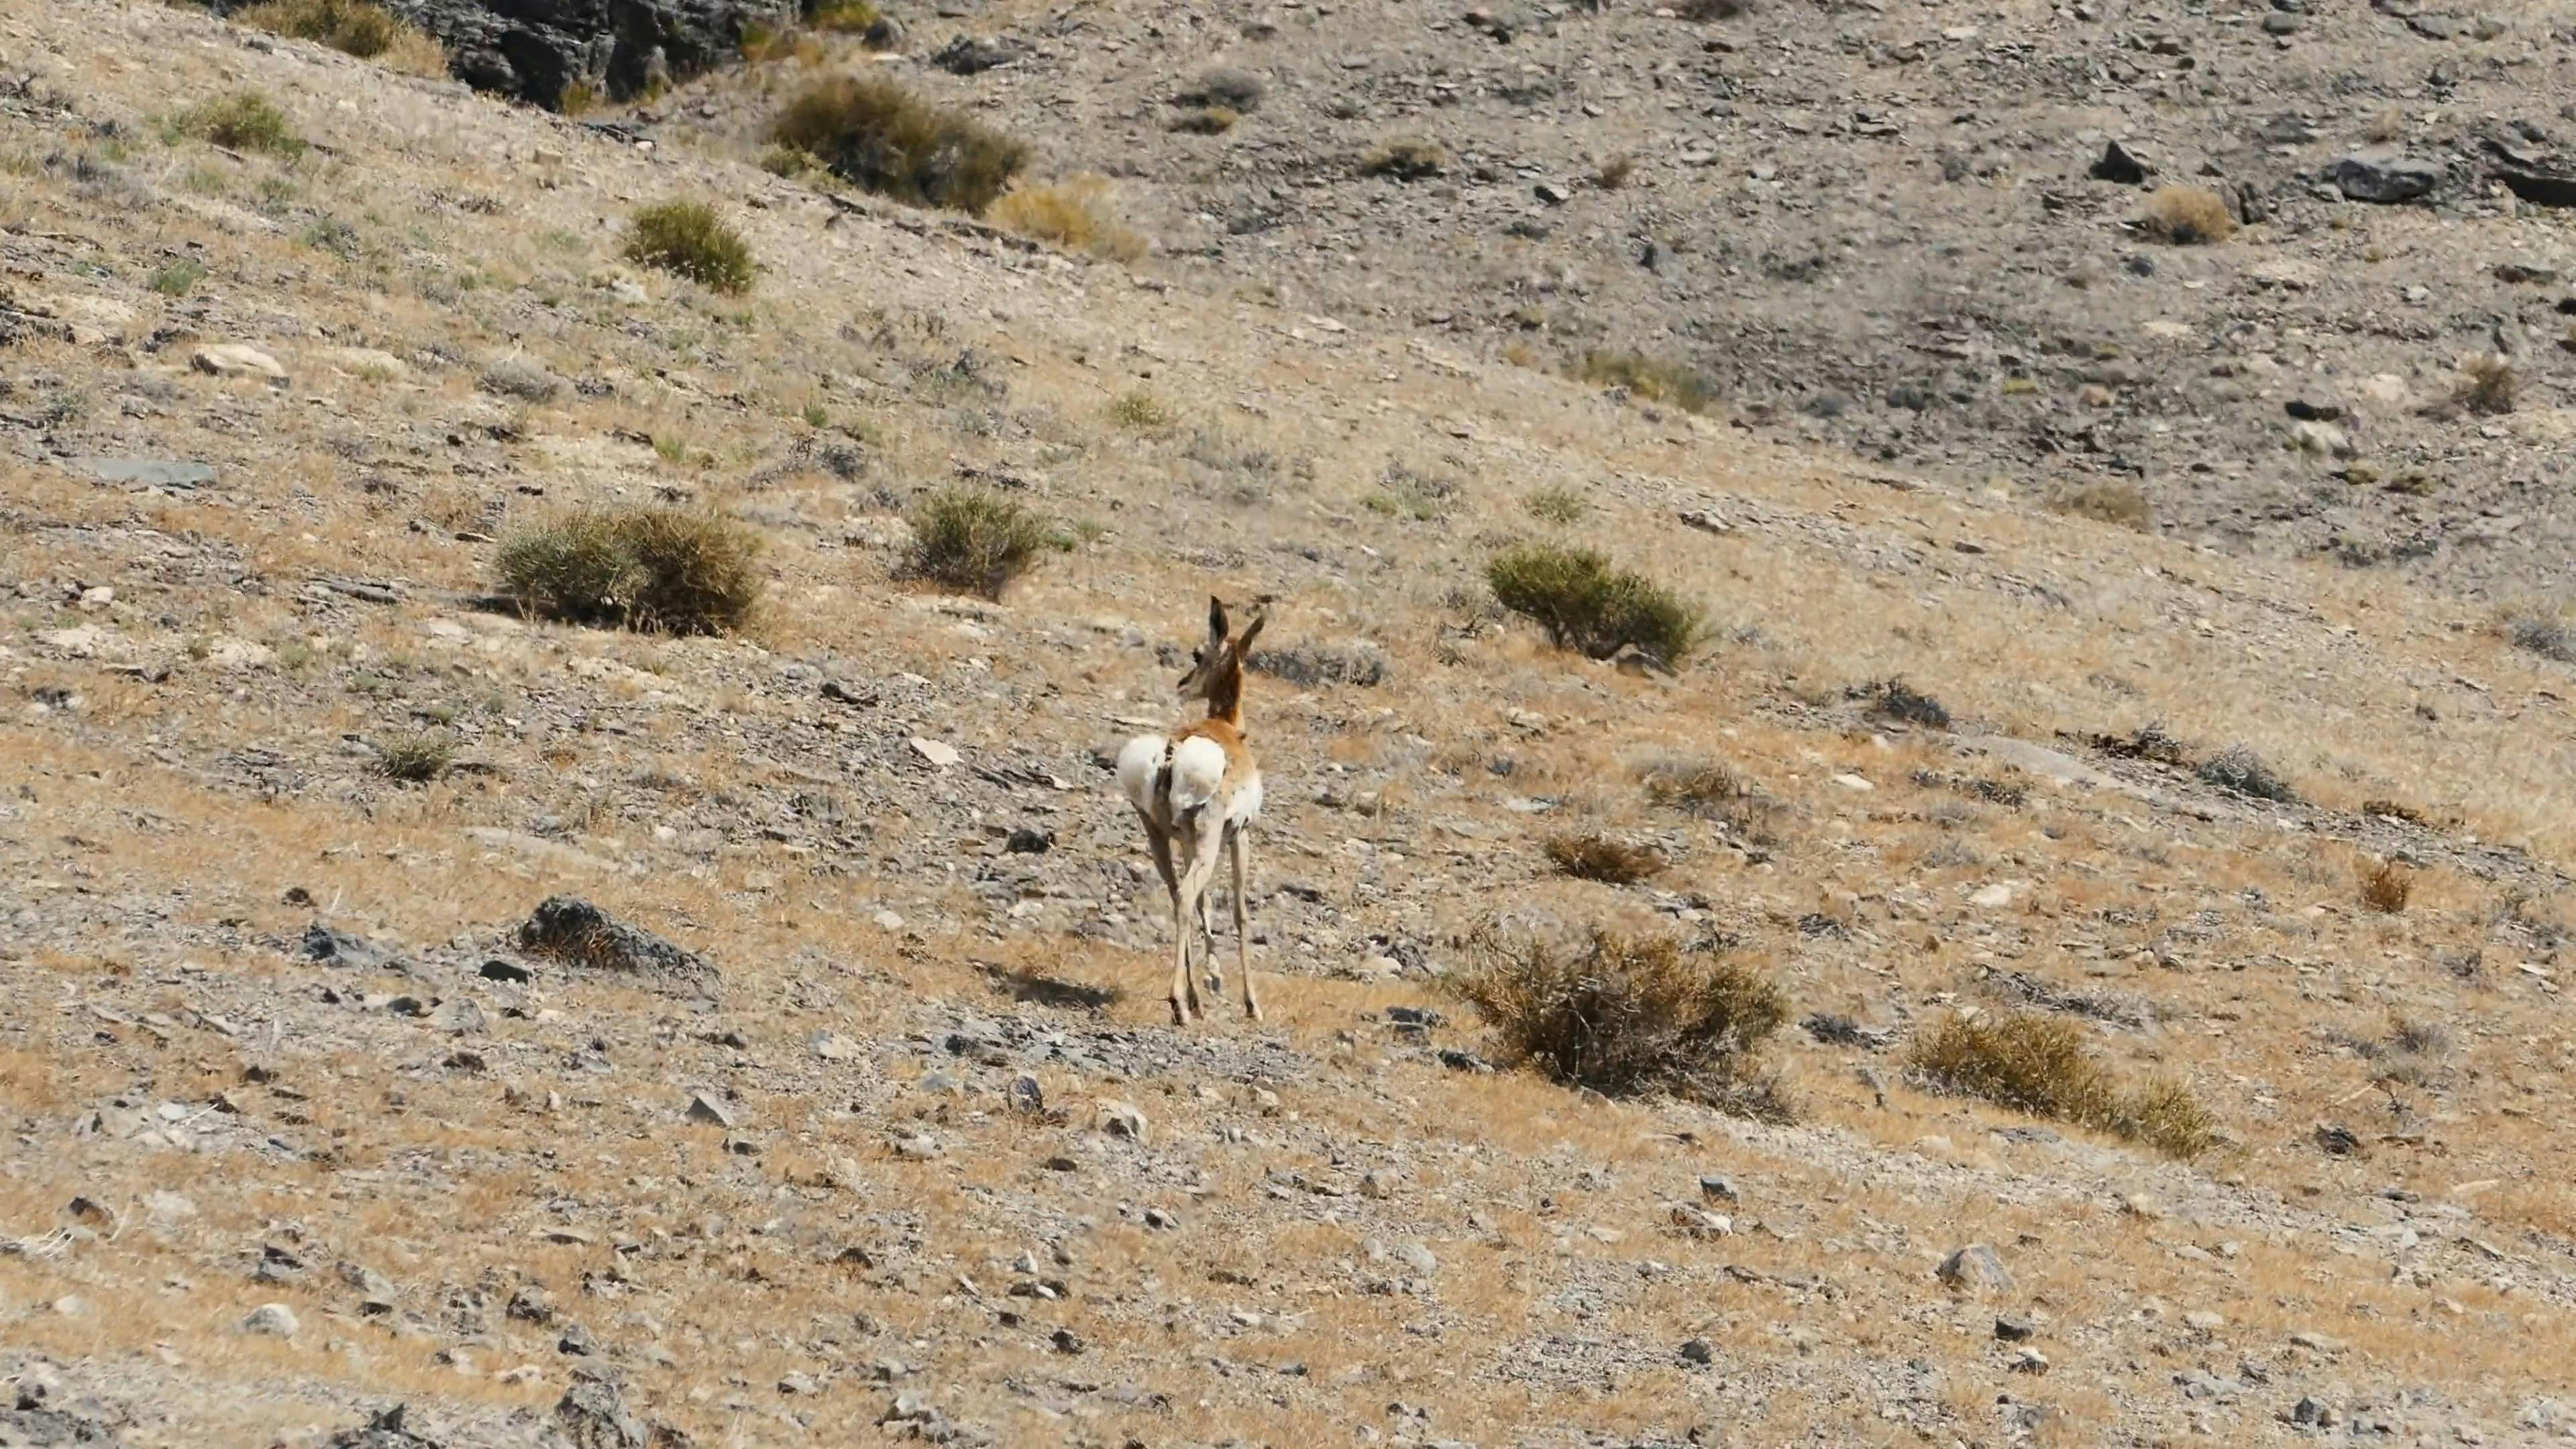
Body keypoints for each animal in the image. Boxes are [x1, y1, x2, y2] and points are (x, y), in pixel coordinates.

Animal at [1115, 596, 1269, 1025]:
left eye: (1199, 655)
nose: (1182, 686)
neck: (1228, 728)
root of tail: (1171, 752)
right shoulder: (1240, 837)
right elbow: (1240, 912)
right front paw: (1252, 1003)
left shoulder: (1186, 841)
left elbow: (1207, 904)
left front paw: (1213, 980)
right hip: (1209, 842)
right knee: (1185, 896)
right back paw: (1179, 1004)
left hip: (1160, 838)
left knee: (1177, 895)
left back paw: (1193, 998)